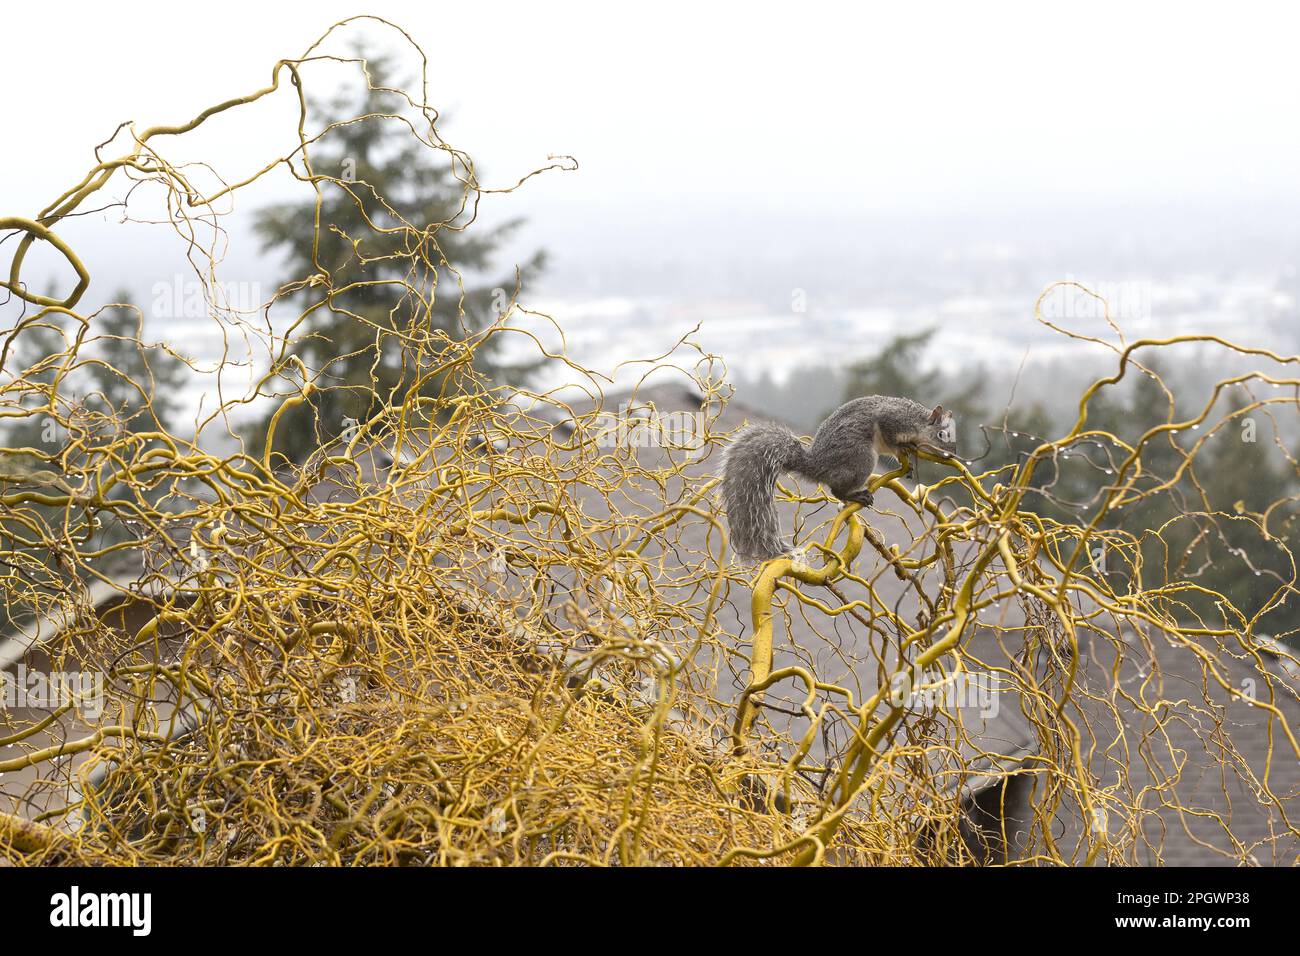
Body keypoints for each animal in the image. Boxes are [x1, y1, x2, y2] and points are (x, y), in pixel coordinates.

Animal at [721, 396, 957, 561]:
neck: (916, 420)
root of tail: (817, 465)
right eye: (941, 435)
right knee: (837, 489)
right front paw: (905, 448)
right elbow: (892, 440)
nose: (953, 455)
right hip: (861, 458)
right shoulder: (892, 421)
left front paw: (907, 466)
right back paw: (858, 496)